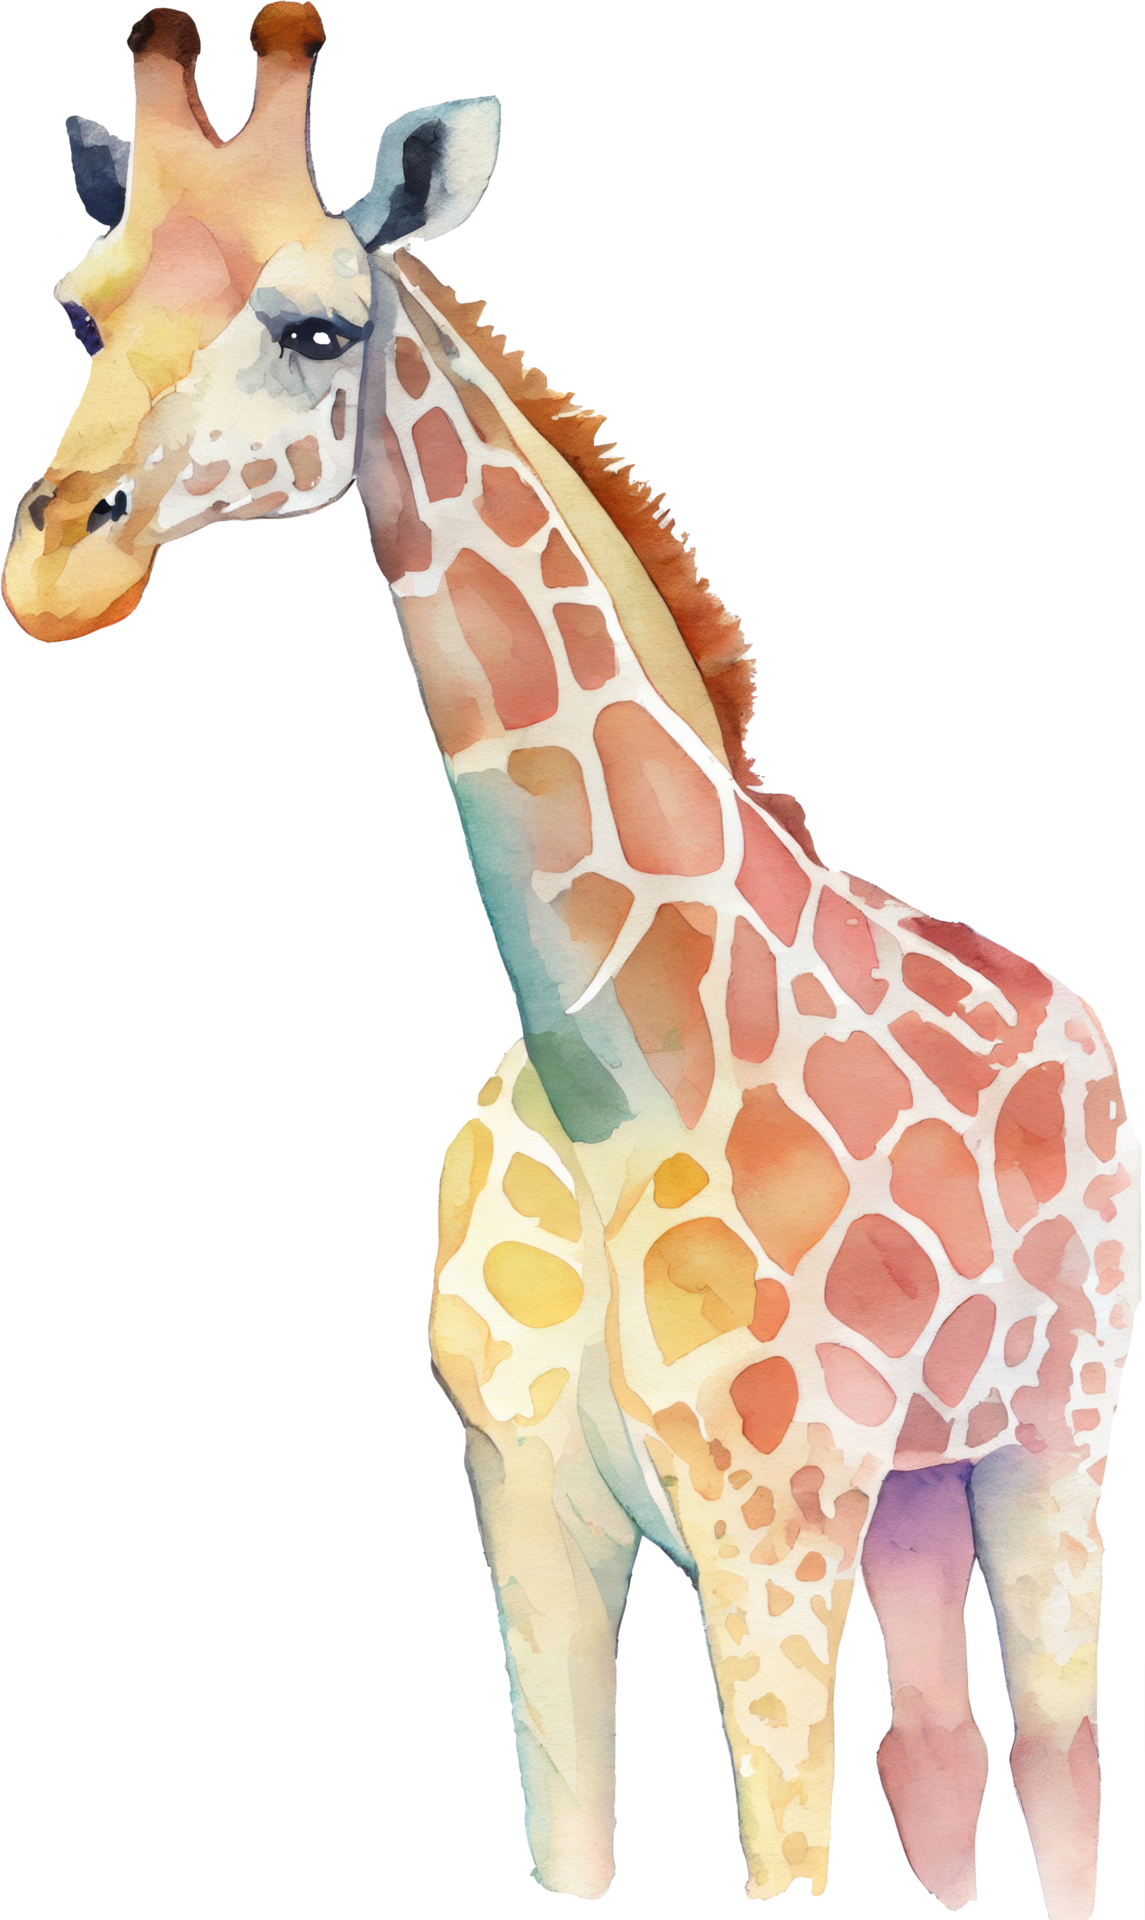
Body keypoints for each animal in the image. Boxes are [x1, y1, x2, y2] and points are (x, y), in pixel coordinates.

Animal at [4, 8, 1139, 1914]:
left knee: (1060, 1758)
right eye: (81, 311)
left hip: (1052, 1429)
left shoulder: (767, 1531)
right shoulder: (530, 1515)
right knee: (937, 1751)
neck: (615, 1064)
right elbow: (576, 1849)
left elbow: (788, 1857)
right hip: (914, 1489)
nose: (58, 567)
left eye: (321, 325)